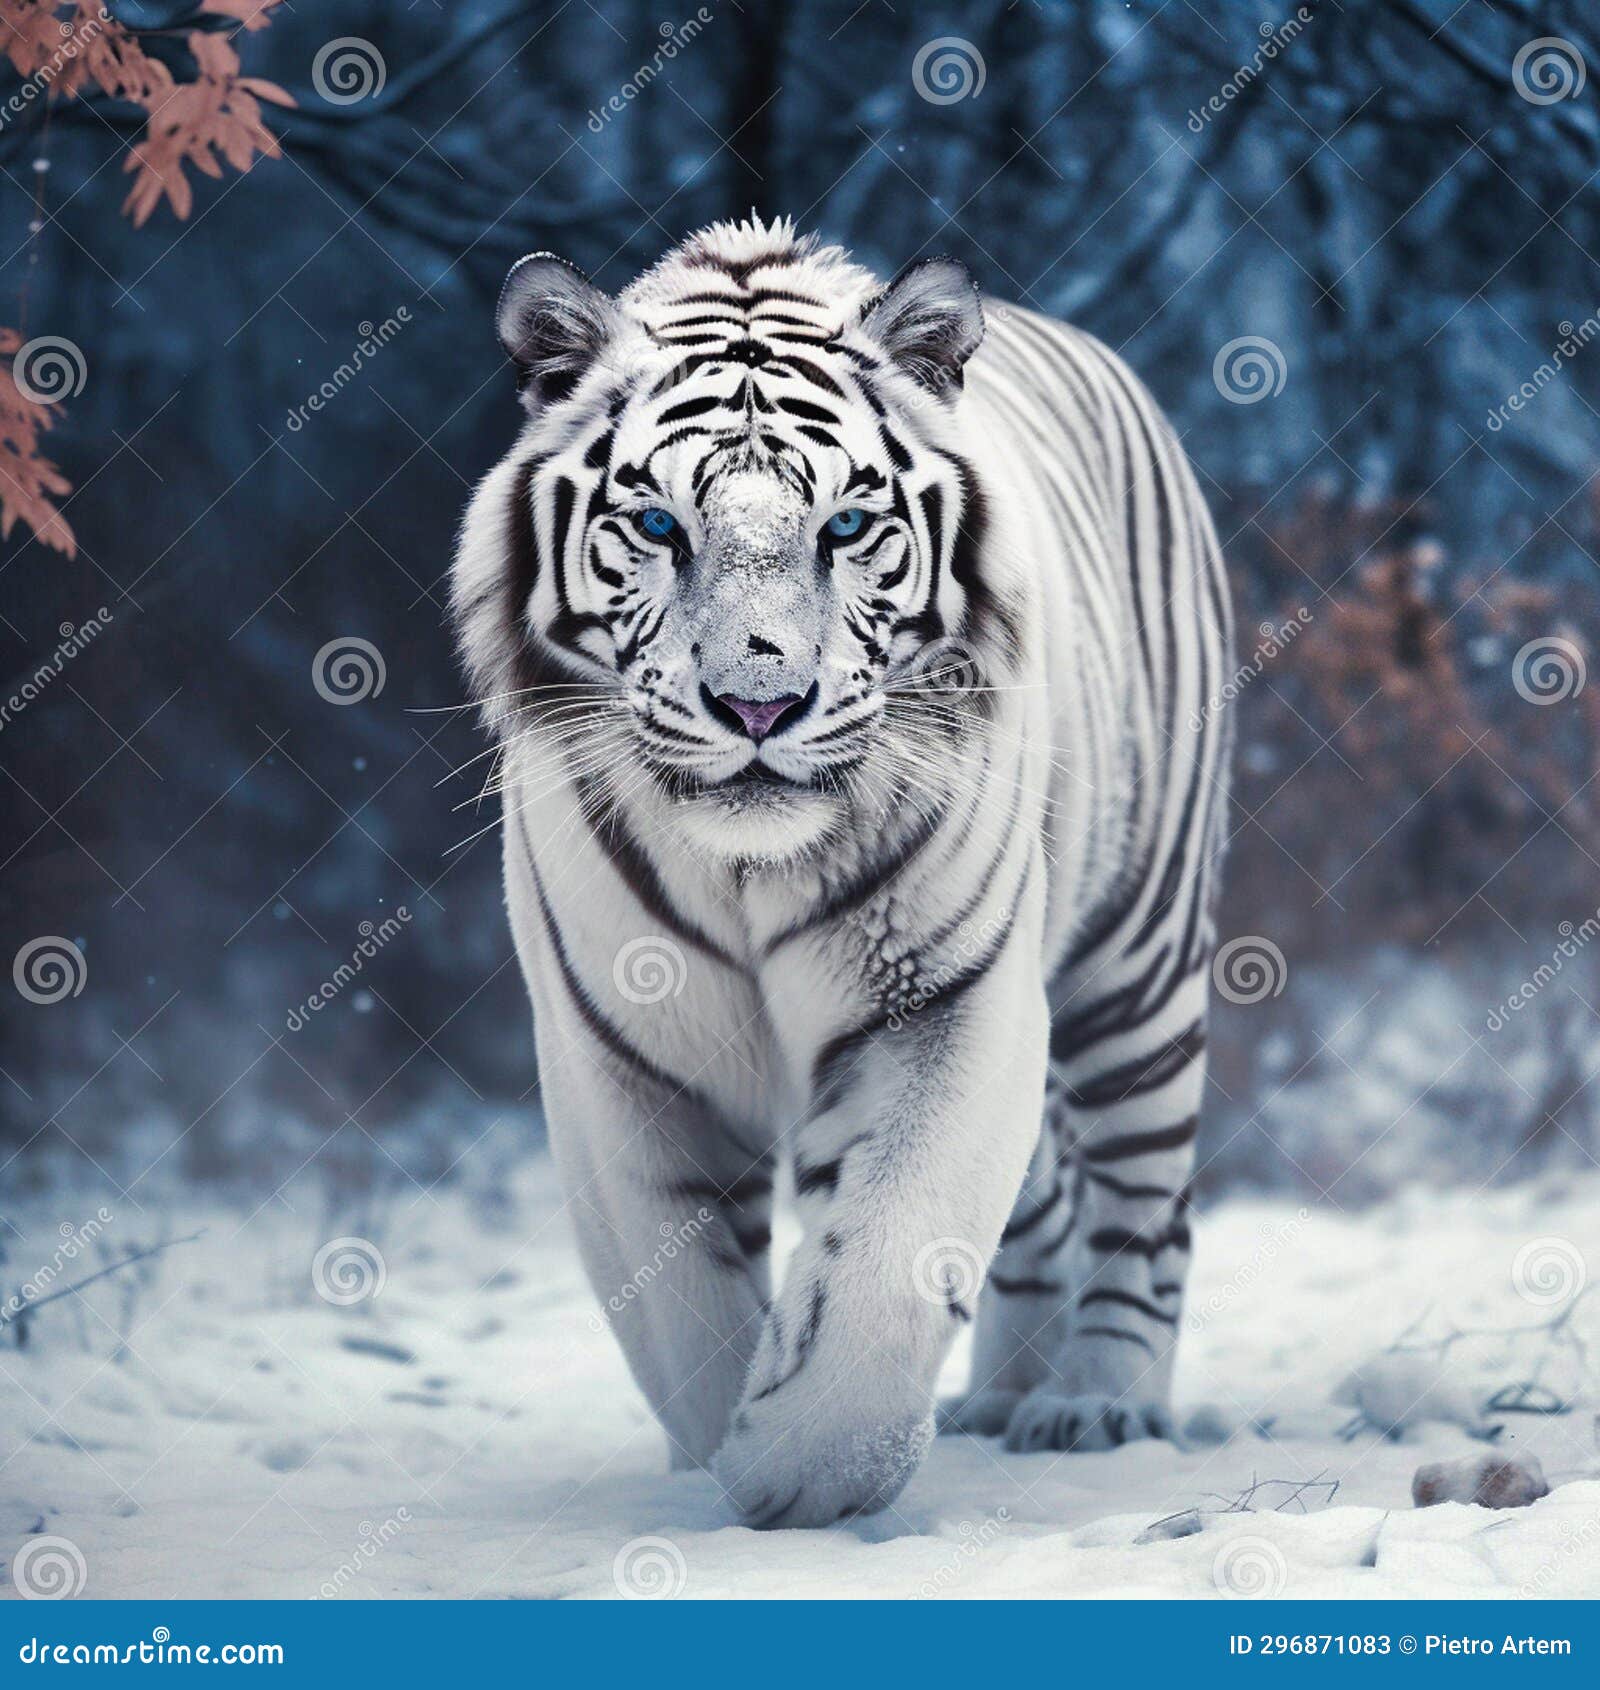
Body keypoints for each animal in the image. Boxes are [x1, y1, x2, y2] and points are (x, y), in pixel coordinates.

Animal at [451, 217, 1233, 1529]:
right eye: (657, 528)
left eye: (846, 529)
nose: (759, 702)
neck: (746, 870)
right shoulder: (618, 1048)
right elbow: (686, 1300)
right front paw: (726, 1440)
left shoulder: (947, 1000)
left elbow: (888, 1253)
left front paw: (795, 1466)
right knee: (1045, 1209)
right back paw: (1001, 1397)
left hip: (1136, 959)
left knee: (1144, 1204)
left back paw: (1095, 1405)